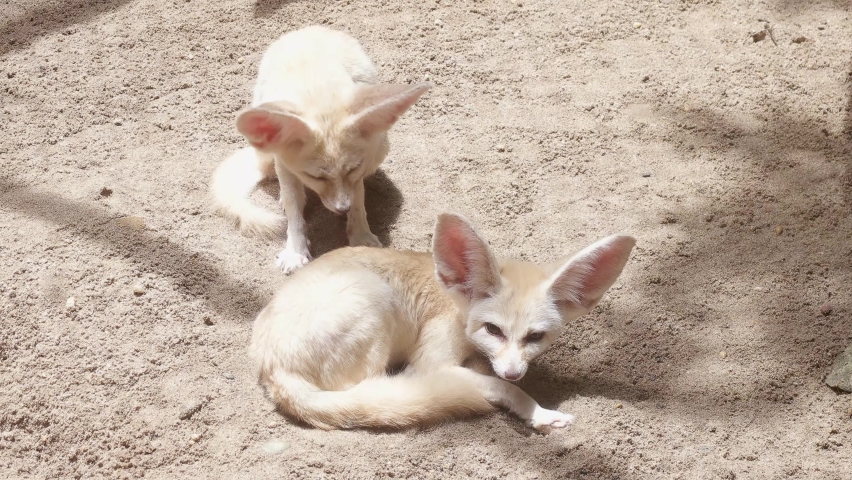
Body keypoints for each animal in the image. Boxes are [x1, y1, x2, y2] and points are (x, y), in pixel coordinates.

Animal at [210, 26, 430, 273]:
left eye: (353, 168)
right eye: (316, 177)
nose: (342, 208)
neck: (316, 91)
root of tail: (310, 29)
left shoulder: (359, 169)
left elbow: (358, 199)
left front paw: (361, 237)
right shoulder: (285, 163)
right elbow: (294, 206)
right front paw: (296, 250)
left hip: (381, 145)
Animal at [249, 212, 636, 431]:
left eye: (536, 337)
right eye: (493, 329)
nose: (513, 371)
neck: (457, 307)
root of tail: (273, 366)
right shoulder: (430, 363)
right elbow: (501, 388)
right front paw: (536, 411)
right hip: (373, 297)